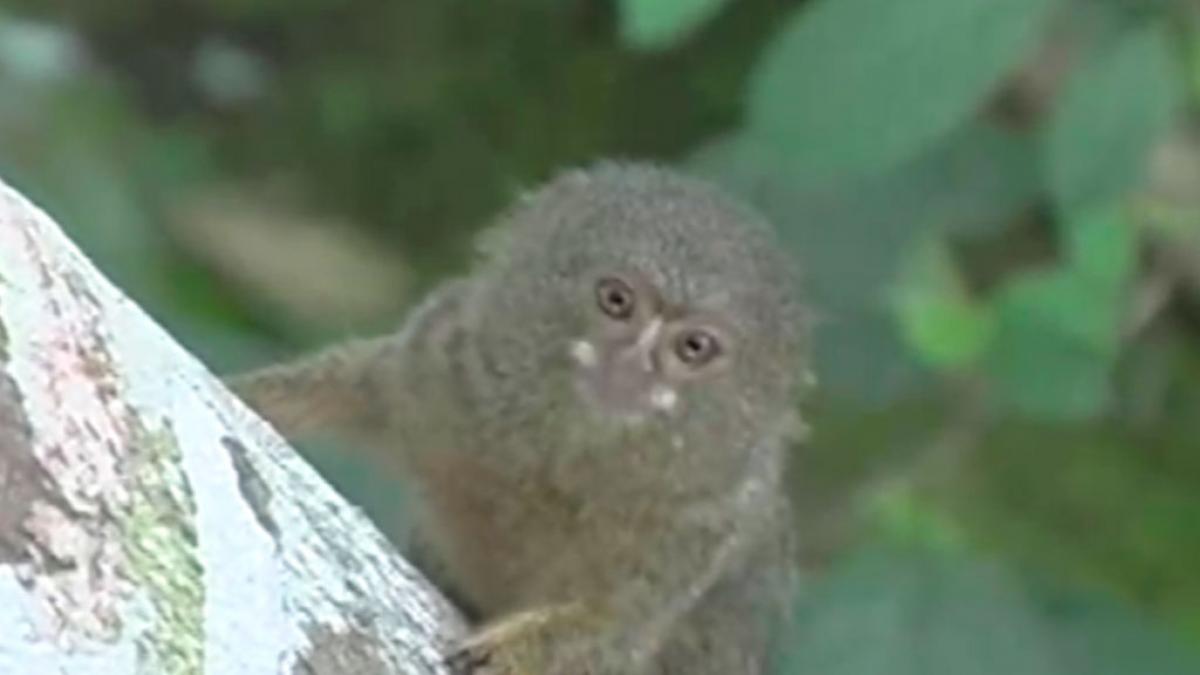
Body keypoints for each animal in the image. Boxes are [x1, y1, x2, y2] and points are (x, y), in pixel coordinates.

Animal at [227, 162, 811, 674]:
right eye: (616, 300)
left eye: (693, 347)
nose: (633, 366)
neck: (554, 467)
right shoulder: (446, 365)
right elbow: (344, 389)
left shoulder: (701, 528)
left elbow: (610, 635)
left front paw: (516, 653)